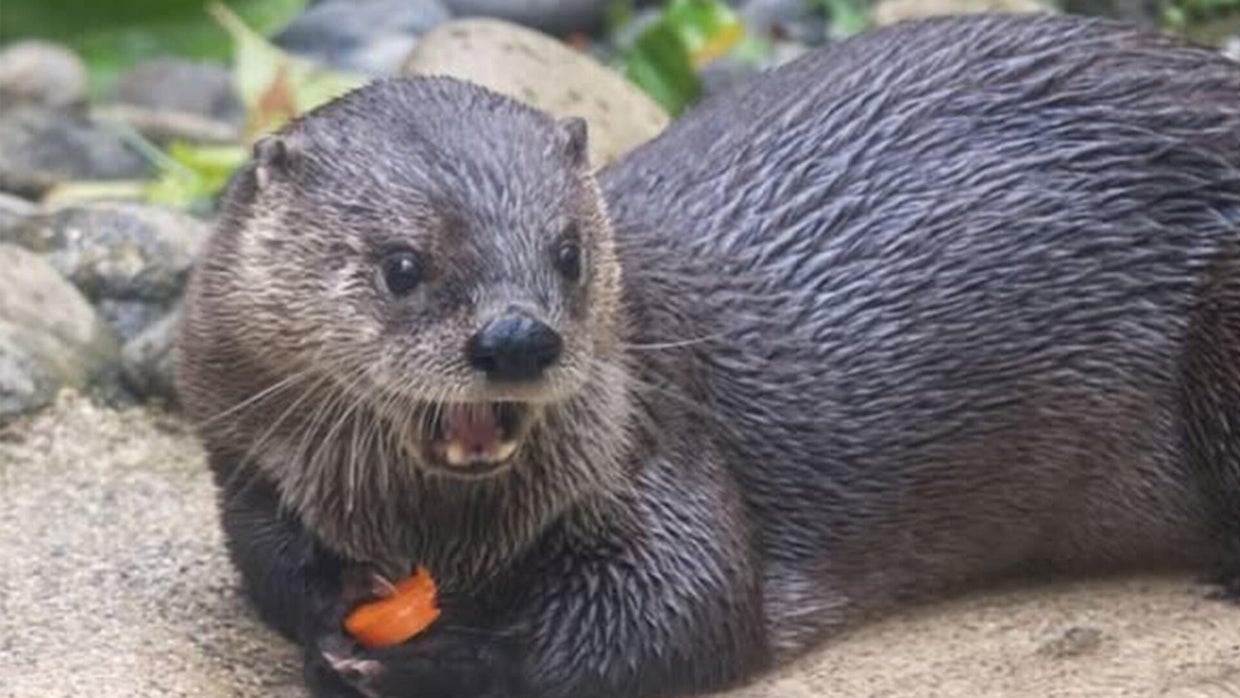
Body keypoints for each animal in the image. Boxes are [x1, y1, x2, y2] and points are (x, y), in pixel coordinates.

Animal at [175, 12, 1240, 698]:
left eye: (568, 250)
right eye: (404, 265)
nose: (519, 338)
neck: (442, 536)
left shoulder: (654, 443)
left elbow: (683, 612)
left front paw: (440, 659)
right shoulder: (243, 465)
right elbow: (269, 569)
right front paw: (338, 612)